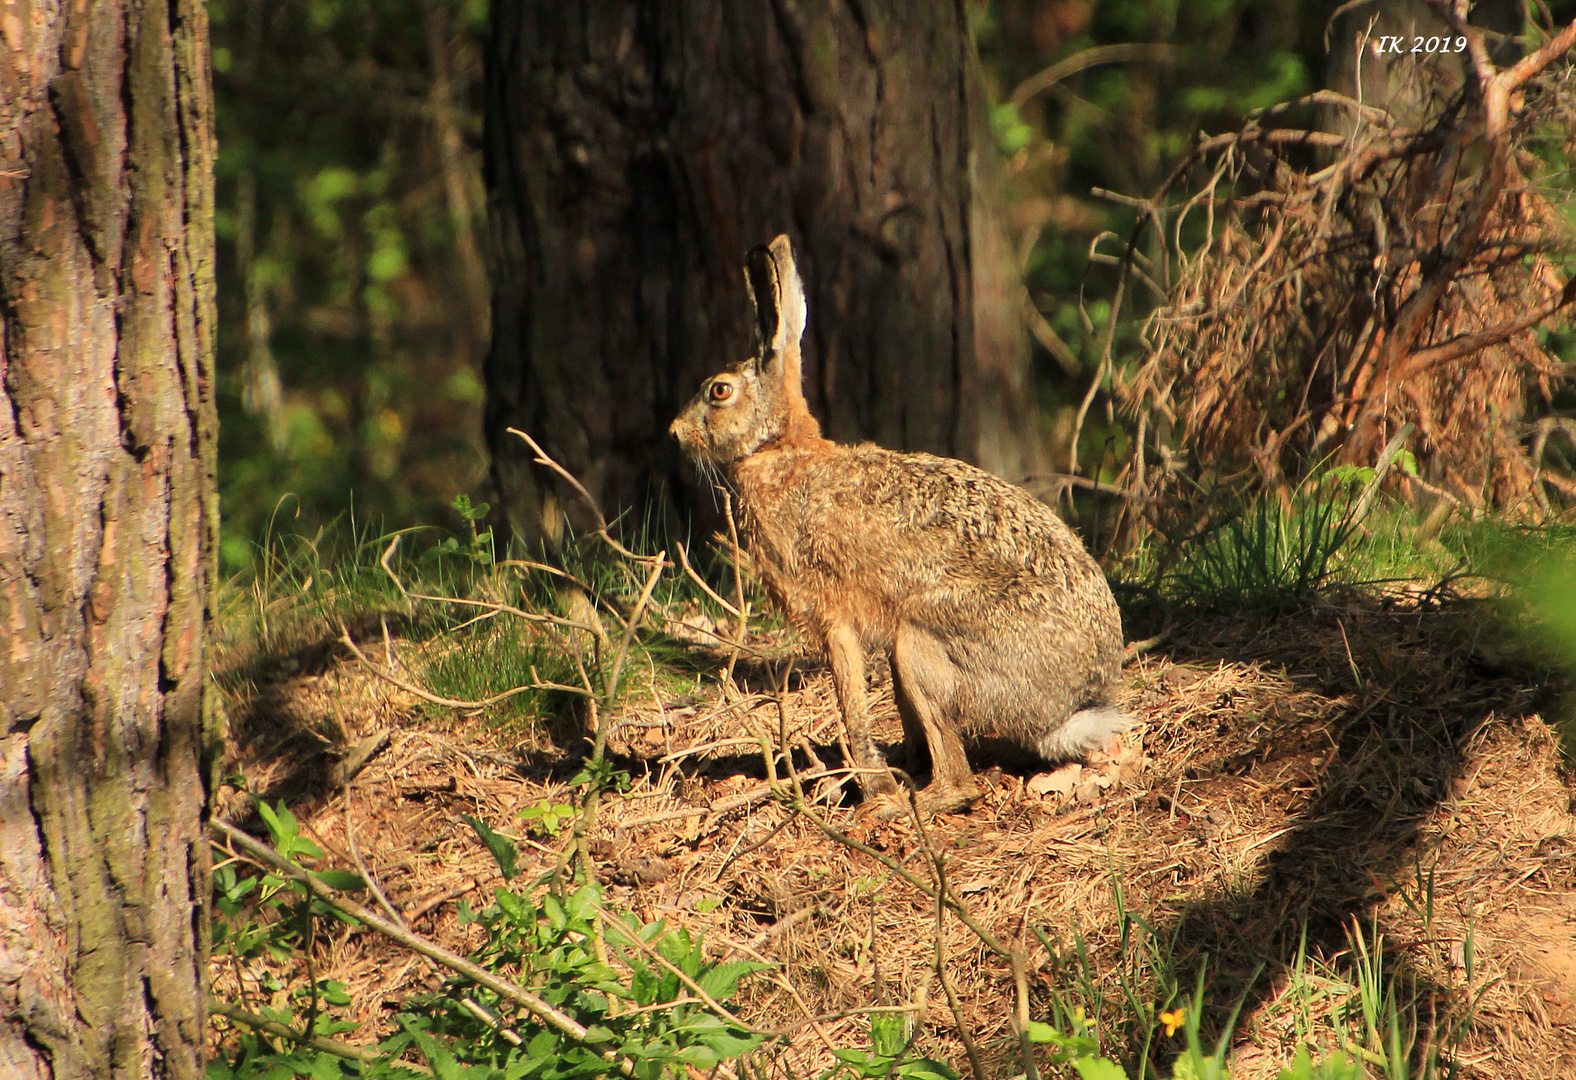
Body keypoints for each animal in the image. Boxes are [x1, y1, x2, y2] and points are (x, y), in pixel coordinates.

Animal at [670, 235, 1128, 815]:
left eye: (720, 391)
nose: (675, 431)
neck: (778, 450)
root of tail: (1069, 709)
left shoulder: (832, 617)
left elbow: (851, 702)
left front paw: (874, 788)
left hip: (922, 645)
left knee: (960, 780)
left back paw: (910, 803)